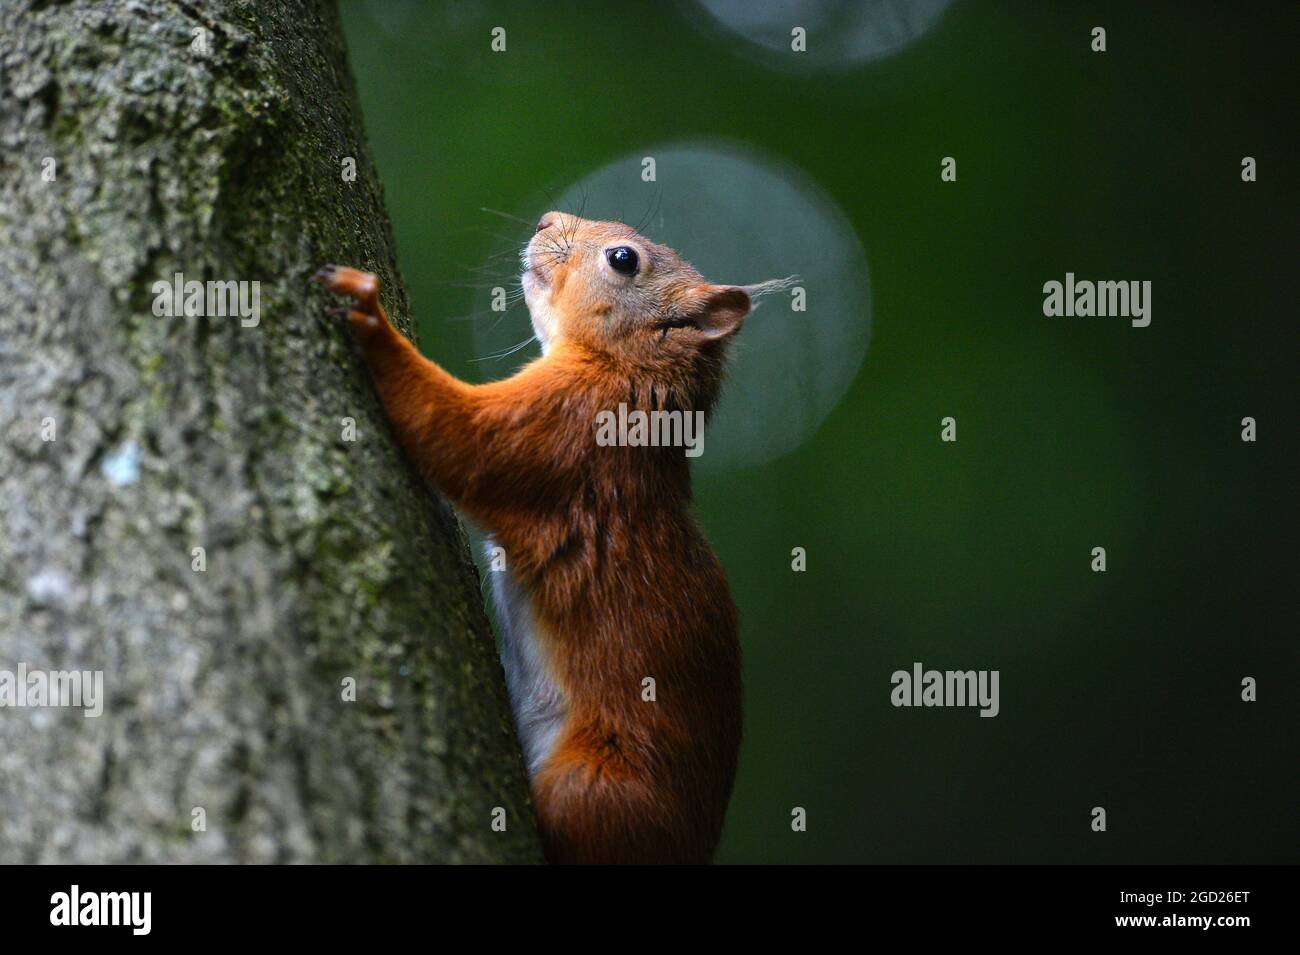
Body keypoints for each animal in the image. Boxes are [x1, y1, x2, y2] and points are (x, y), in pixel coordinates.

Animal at [314, 211, 755, 864]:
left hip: (591, 787)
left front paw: (370, 318)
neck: (630, 378)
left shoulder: (568, 424)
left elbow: (465, 436)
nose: (549, 220)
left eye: (623, 259)